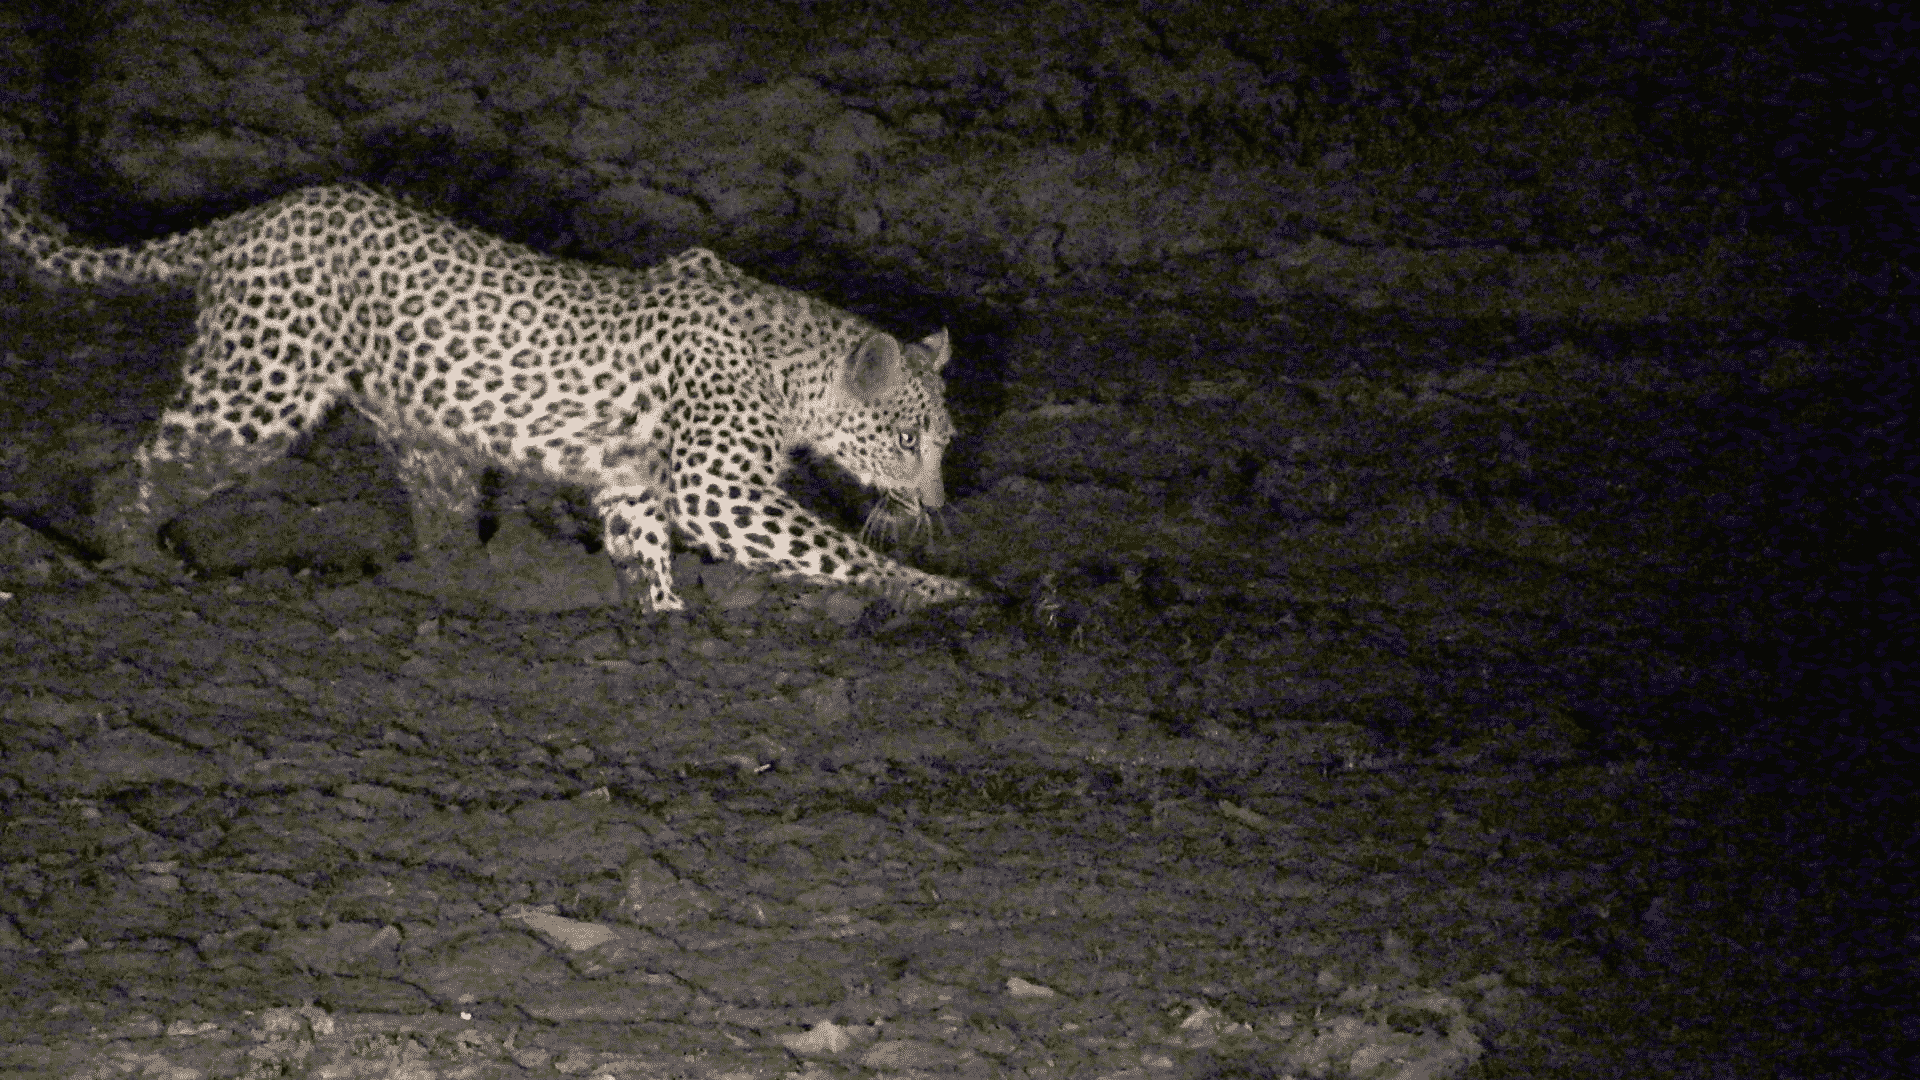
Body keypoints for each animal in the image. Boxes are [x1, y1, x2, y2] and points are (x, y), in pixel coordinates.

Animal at [0, 171, 978, 612]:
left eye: (942, 443)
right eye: (906, 439)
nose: (935, 504)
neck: (794, 368)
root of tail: (256, 214)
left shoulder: (632, 482)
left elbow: (643, 551)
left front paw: (664, 625)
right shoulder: (717, 487)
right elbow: (831, 549)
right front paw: (938, 592)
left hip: (427, 432)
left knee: (438, 514)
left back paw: (461, 585)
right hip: (257, 387)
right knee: (134, 475)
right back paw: (138, 566)